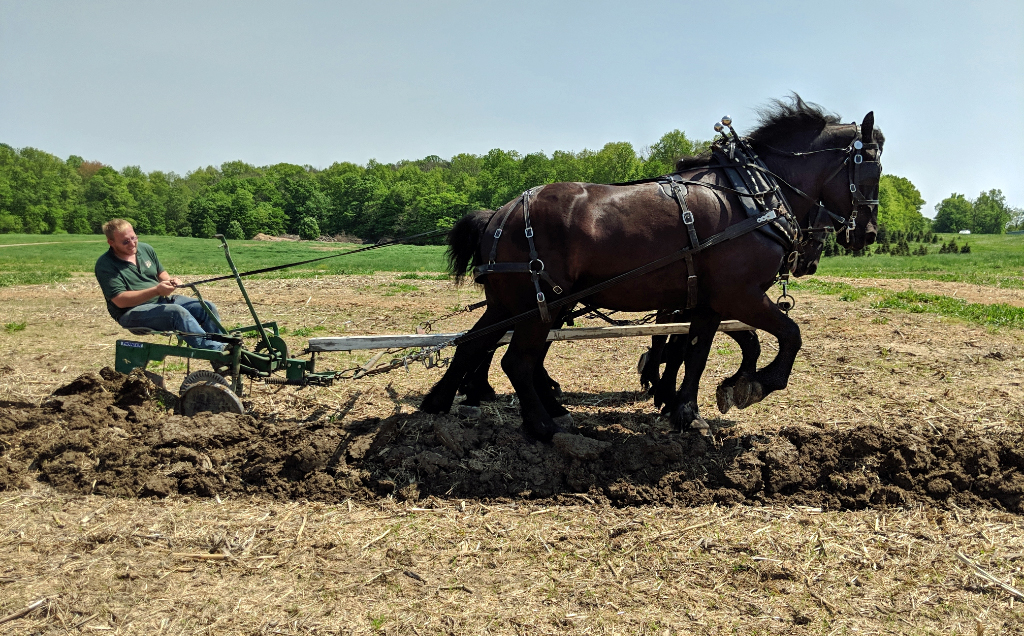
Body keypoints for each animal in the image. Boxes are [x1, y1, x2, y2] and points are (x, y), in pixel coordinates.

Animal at [422, 96, 883, 442]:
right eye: (872, 167)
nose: (868, 233)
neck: (752, 196)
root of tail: (499, 214)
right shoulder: (741, 295)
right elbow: (790, 334)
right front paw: (751, 386)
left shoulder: (708, 303)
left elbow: (695, 354)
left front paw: (685, 411)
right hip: (541, 305)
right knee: (516, 361)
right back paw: (544, 426)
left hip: (512, 304)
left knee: (474, 345)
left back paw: (440, 402)